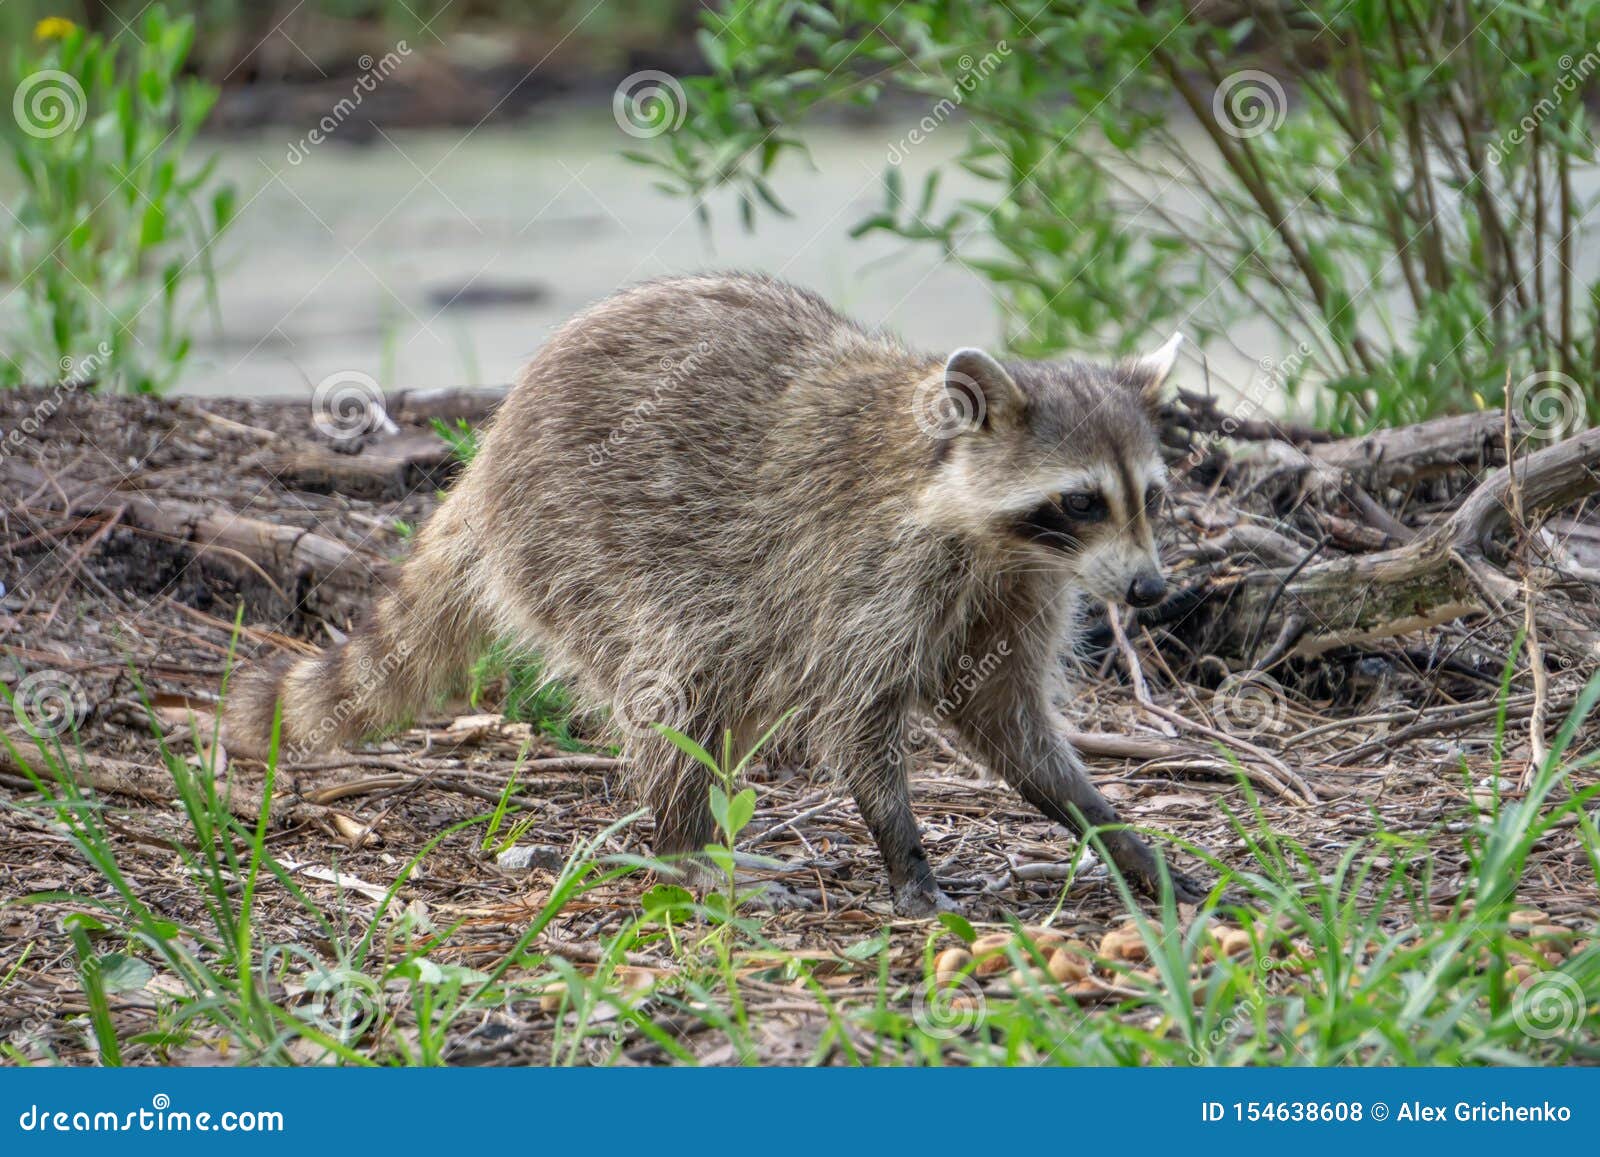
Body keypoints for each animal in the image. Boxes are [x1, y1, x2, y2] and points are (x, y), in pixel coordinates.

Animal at [227, 273, 1202, 913]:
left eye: (1151, 496)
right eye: (1082, 500)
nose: (1150, 588)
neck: (980, 524)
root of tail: (489, 455)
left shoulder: (1020, 586)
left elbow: (1004, 717)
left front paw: (1109, 829)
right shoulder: (867, 570)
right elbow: (856, 718)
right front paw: (905, 852)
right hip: (582, 542)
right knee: (674, 680)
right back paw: (682, 845)